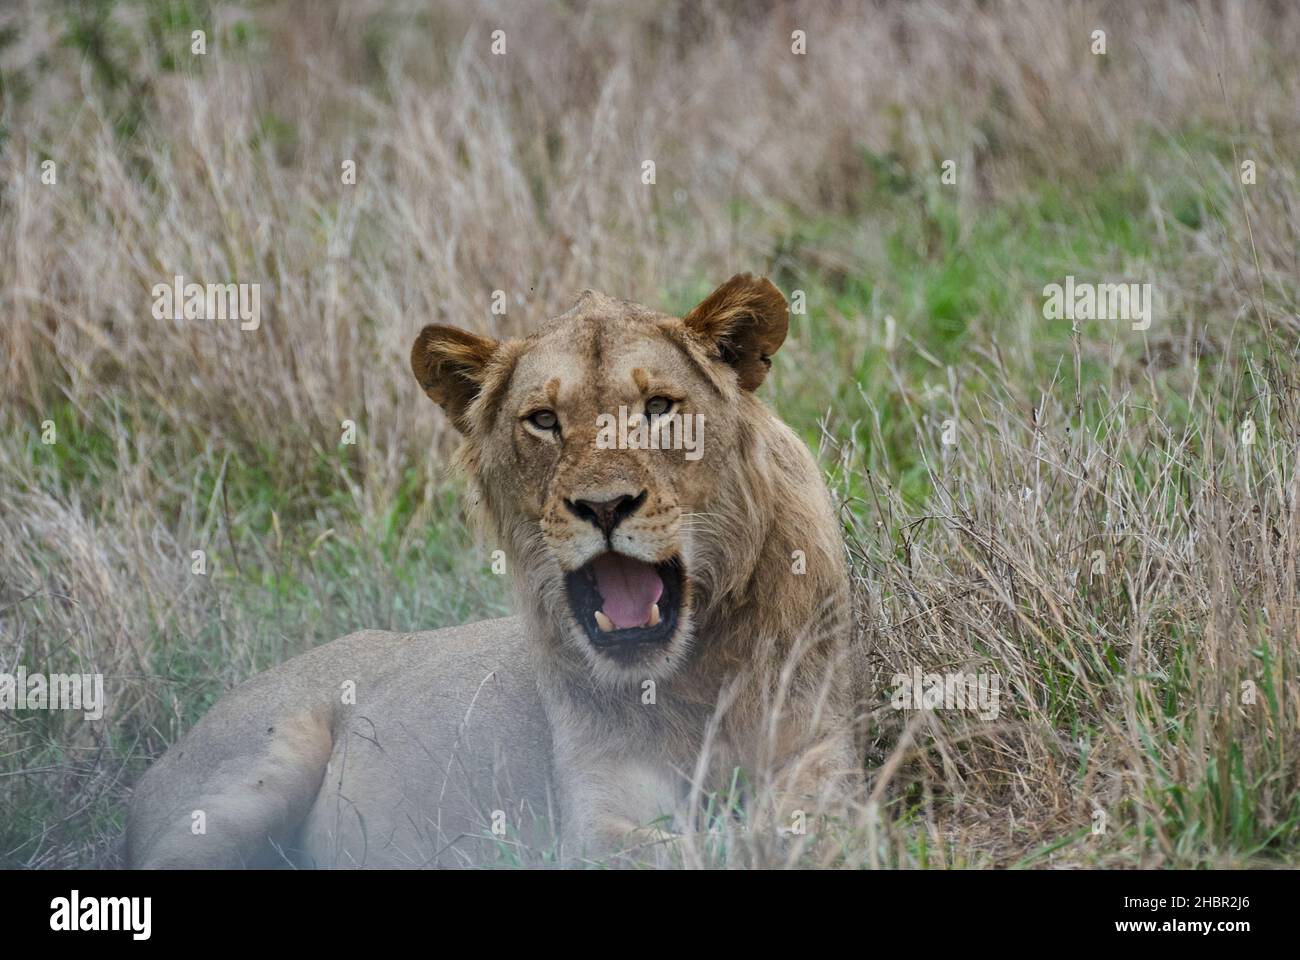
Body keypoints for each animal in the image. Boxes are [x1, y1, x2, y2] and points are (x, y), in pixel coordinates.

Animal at [126, 274, 862, 868]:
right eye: (544, 420)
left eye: (659, 409)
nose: (603, 506)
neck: (691, 676)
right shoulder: (596, 819)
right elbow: (679, 850)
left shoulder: (821, 758)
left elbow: (796, 829)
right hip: (262, 767)